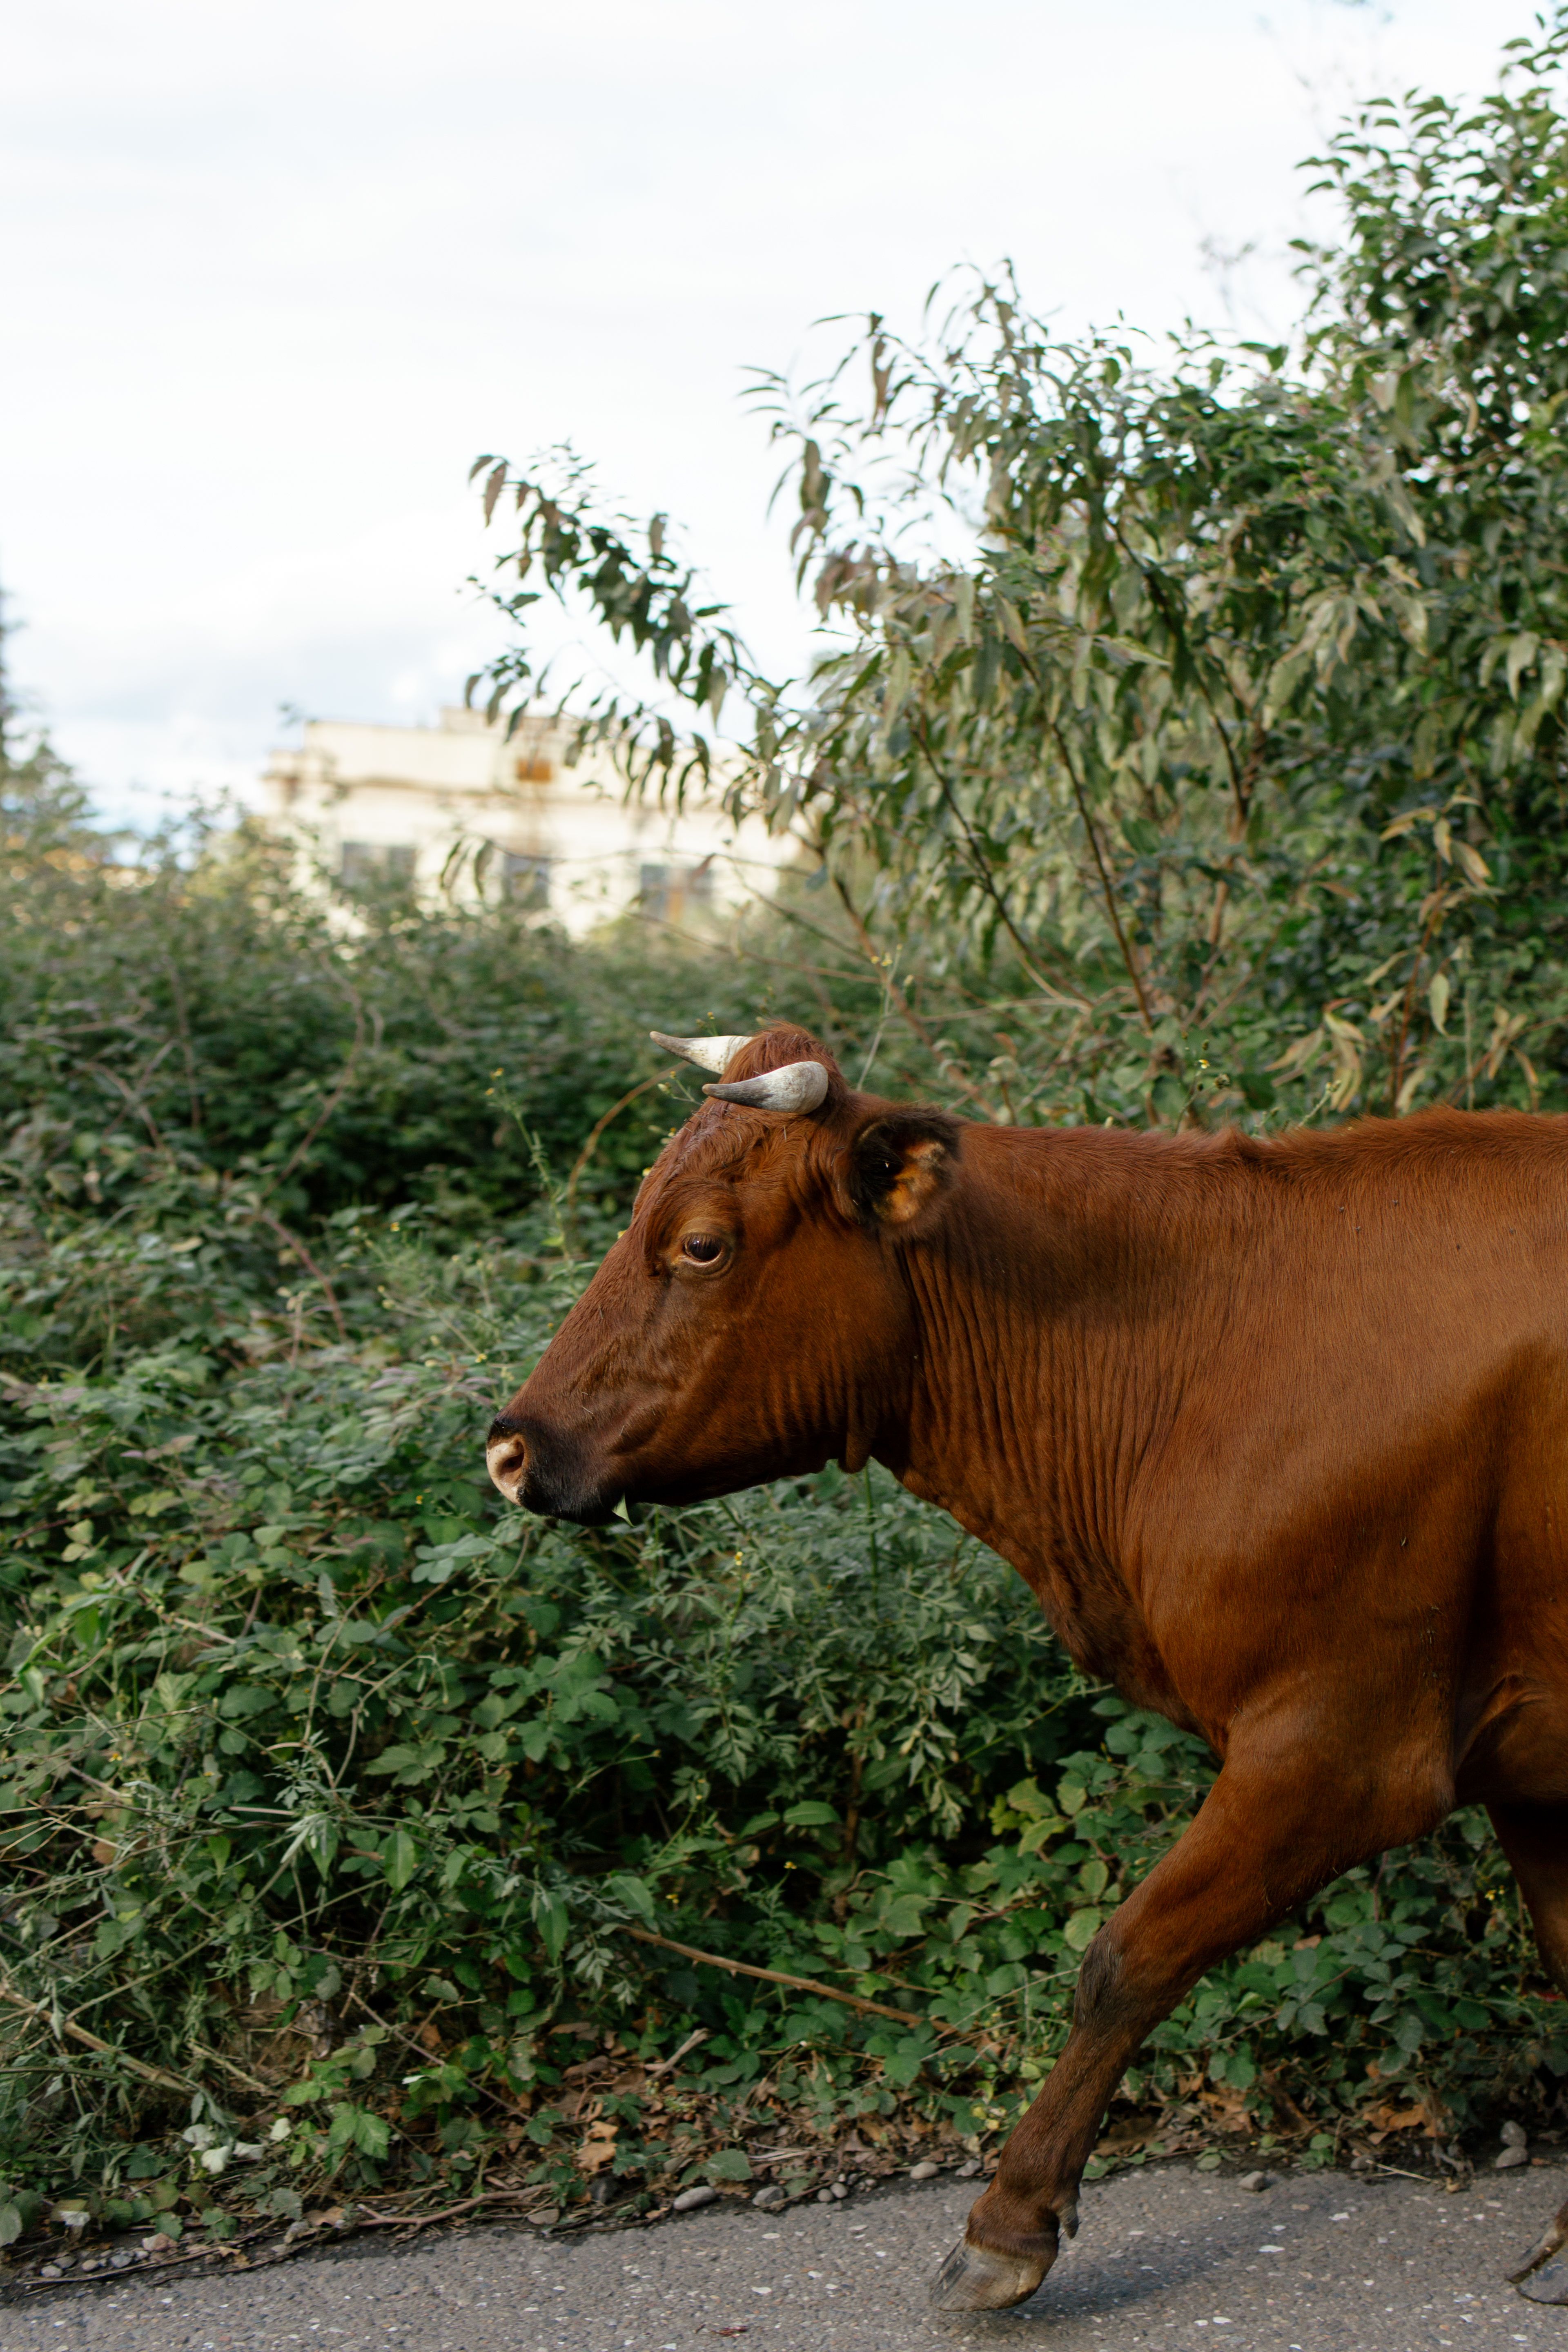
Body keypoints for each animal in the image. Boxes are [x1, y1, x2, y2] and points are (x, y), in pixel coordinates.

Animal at [486, 1021, 1568, 2312]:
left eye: (701, 1241)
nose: (512, 1448)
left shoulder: (1341, 1743)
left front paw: (1007, 2226)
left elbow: (1124, 1957)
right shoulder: (1527, 1763)